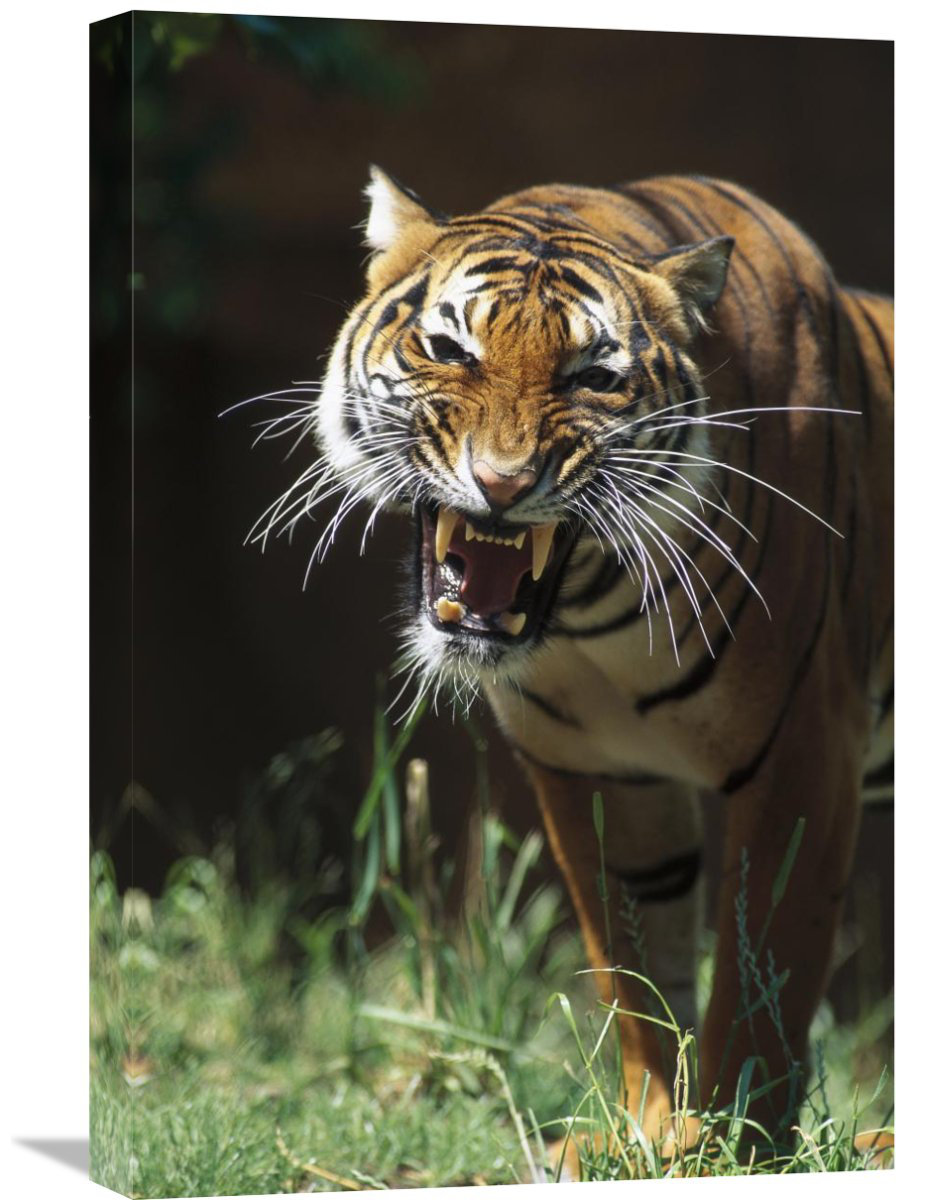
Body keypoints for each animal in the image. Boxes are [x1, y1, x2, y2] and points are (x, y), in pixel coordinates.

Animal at [260, 167, 893, 1149]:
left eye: (591, 377)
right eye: (447, 349)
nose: (502, 483)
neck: (596, 616)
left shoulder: (806, 749)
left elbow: (764, 967)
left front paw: (736, 1142)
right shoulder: (595, 769)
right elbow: (632, 965)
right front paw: (651, 1131)